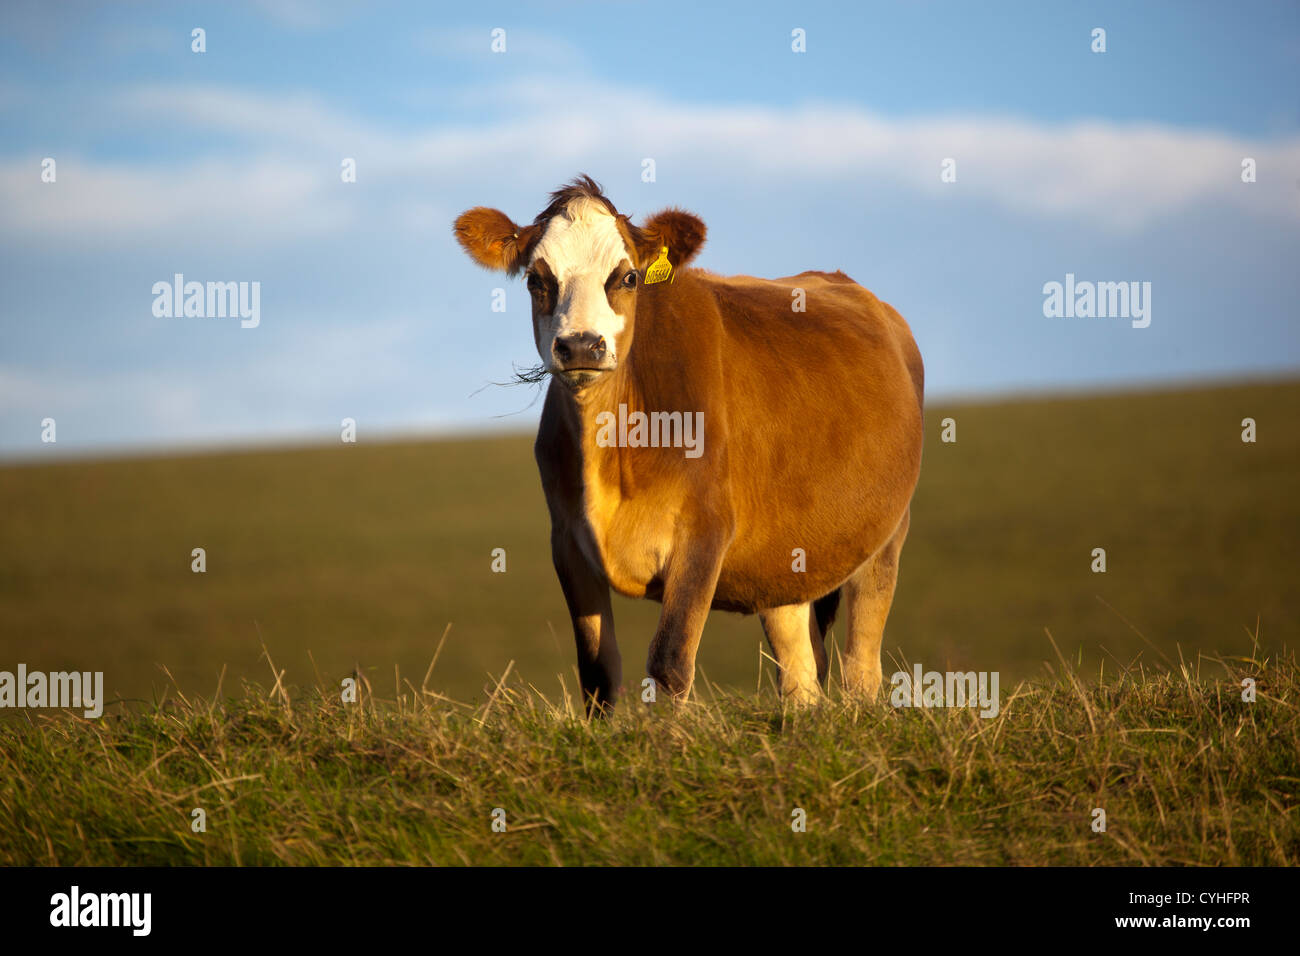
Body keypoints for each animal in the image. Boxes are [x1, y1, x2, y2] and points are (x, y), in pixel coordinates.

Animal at [453, 176, 923, 715]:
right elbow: (597, 673)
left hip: (885, 536)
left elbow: (669, 662)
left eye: (628, 277)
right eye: (535, 279)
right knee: (800, 665)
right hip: (785, 561)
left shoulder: (704, 531)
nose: (581, 345)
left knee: (862, 664)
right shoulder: (567, 541)